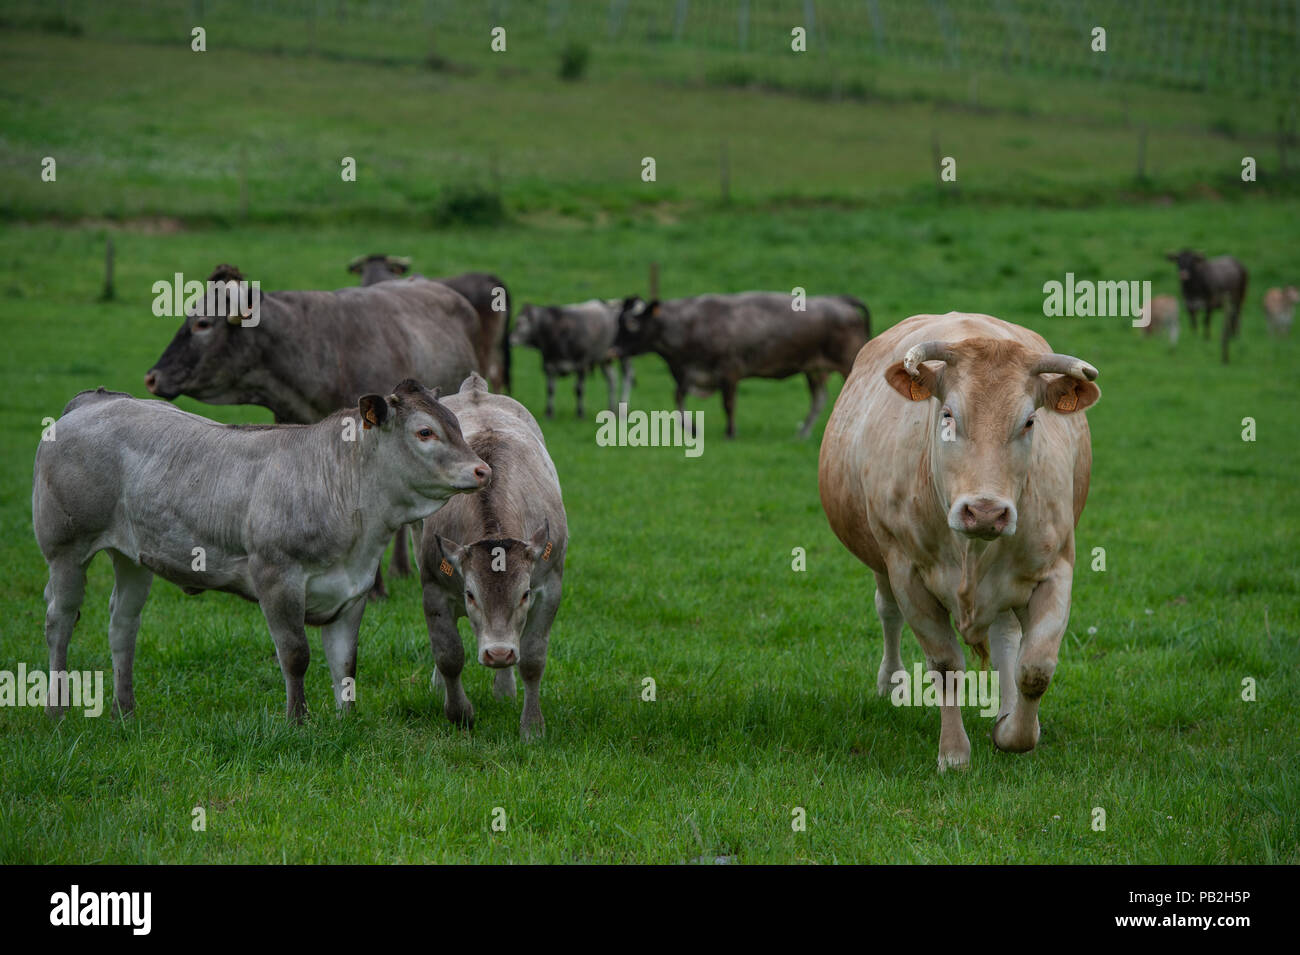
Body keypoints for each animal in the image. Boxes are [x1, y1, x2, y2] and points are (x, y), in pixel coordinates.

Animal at [32, 381, 490, 721]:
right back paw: (56, 710)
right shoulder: (276, 577)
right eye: (425, 432)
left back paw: (125, 709)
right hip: (65, 549)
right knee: (59, 620)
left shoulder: (353, 590)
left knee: (122, 624)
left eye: (455, 423)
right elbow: (295, 655)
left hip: (133, 557)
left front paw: (347, 721)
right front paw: (298, 721)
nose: (483, 469)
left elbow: (345, 663)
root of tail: (95, 401)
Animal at [420, 373, 566, 739]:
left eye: (524, 593)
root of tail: (475, 389)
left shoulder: (550, 587)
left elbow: (533, 658)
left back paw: (504, 690)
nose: (498, 653)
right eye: (471, 594)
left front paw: (532, 726)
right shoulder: (433, 587)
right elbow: (448, 654)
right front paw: (459, 712)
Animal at [613, 292, 870, 439]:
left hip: (846, 363)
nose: (613, 349)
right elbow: (677, 399)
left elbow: (728, 404)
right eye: (619, 321)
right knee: (819, 399)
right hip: (814, 369)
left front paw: (730, 432)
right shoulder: (687, 374)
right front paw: (691, 428)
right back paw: (803, 433)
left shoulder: (729, 370)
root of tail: (839, 300)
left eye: (632, 323)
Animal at [818, 312, 1099, 771]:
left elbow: (1035, 667)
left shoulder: (1056, 569)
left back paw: (1006, 708)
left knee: (1006, 636)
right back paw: (891, 682)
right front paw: (953, 754)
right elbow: (946, 665)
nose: (985, 511)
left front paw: (1014, 731)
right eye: (948, 415)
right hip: (879, 558)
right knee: (887, 612)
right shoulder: (907, 572)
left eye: (1029, 421)